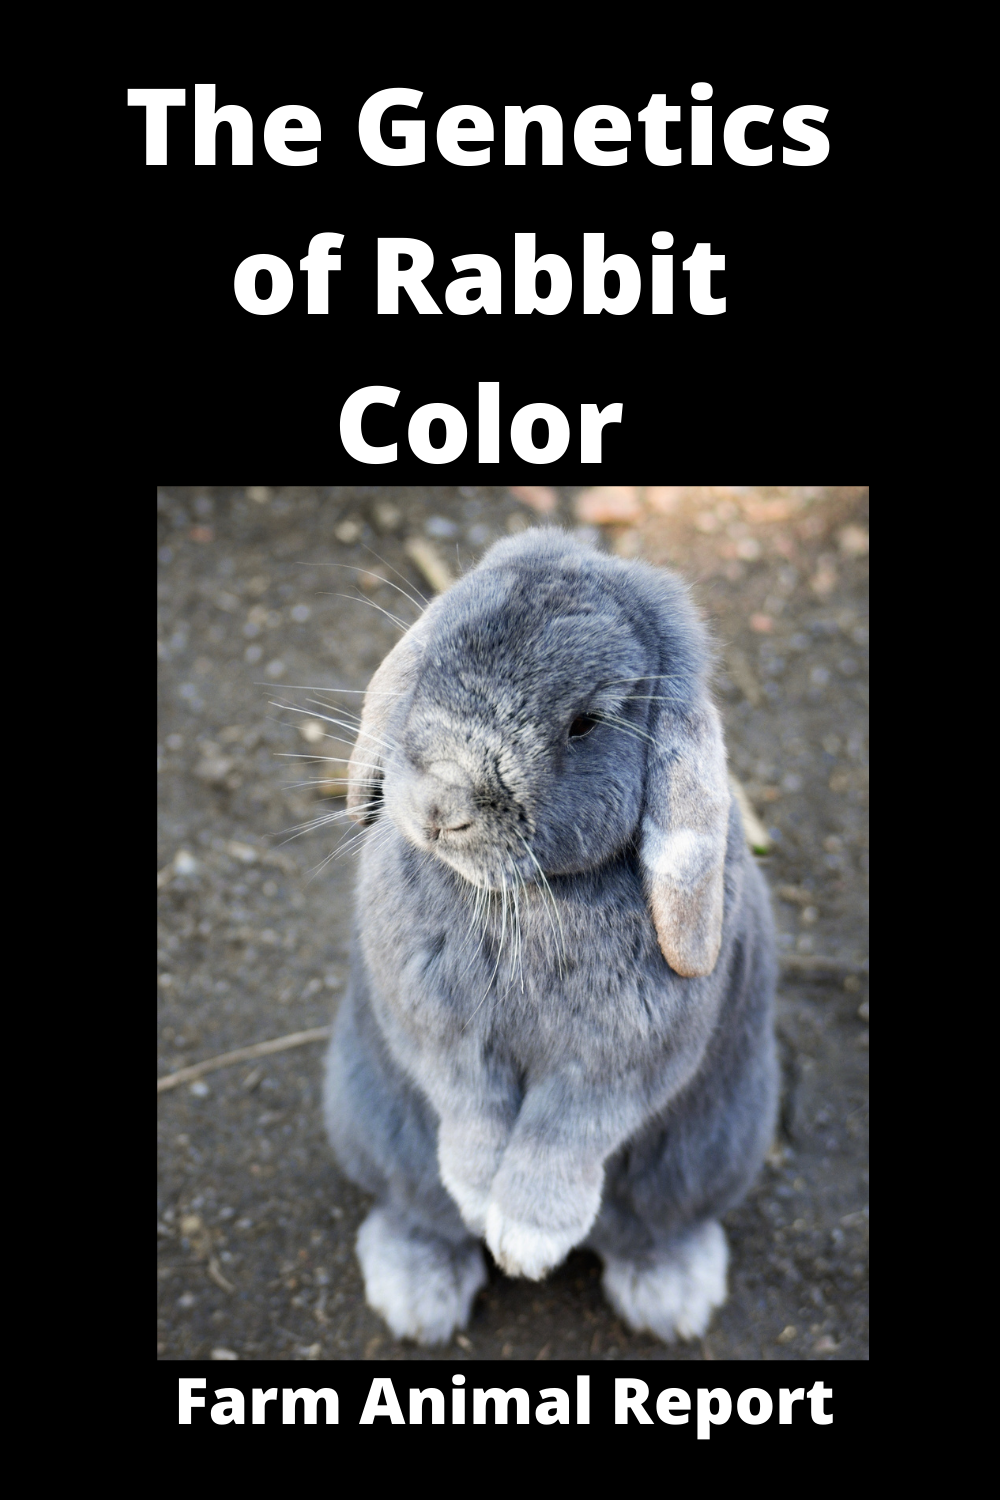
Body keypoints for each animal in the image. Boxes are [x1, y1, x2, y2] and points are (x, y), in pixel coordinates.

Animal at [323, 526, 777, 1347]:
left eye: (585, 724)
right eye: (432, 660)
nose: (440, 805)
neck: (526, 897)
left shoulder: (615, 1064)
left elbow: (563, 1136)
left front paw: (527, 1243)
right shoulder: (440, 1035)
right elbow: (470, 1110)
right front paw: (482, 1203)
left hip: (709, 1156)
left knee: (654, 1229)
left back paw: (672, 1298)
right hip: (374, 1128)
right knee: (418, 1211)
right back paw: (417, 1296)